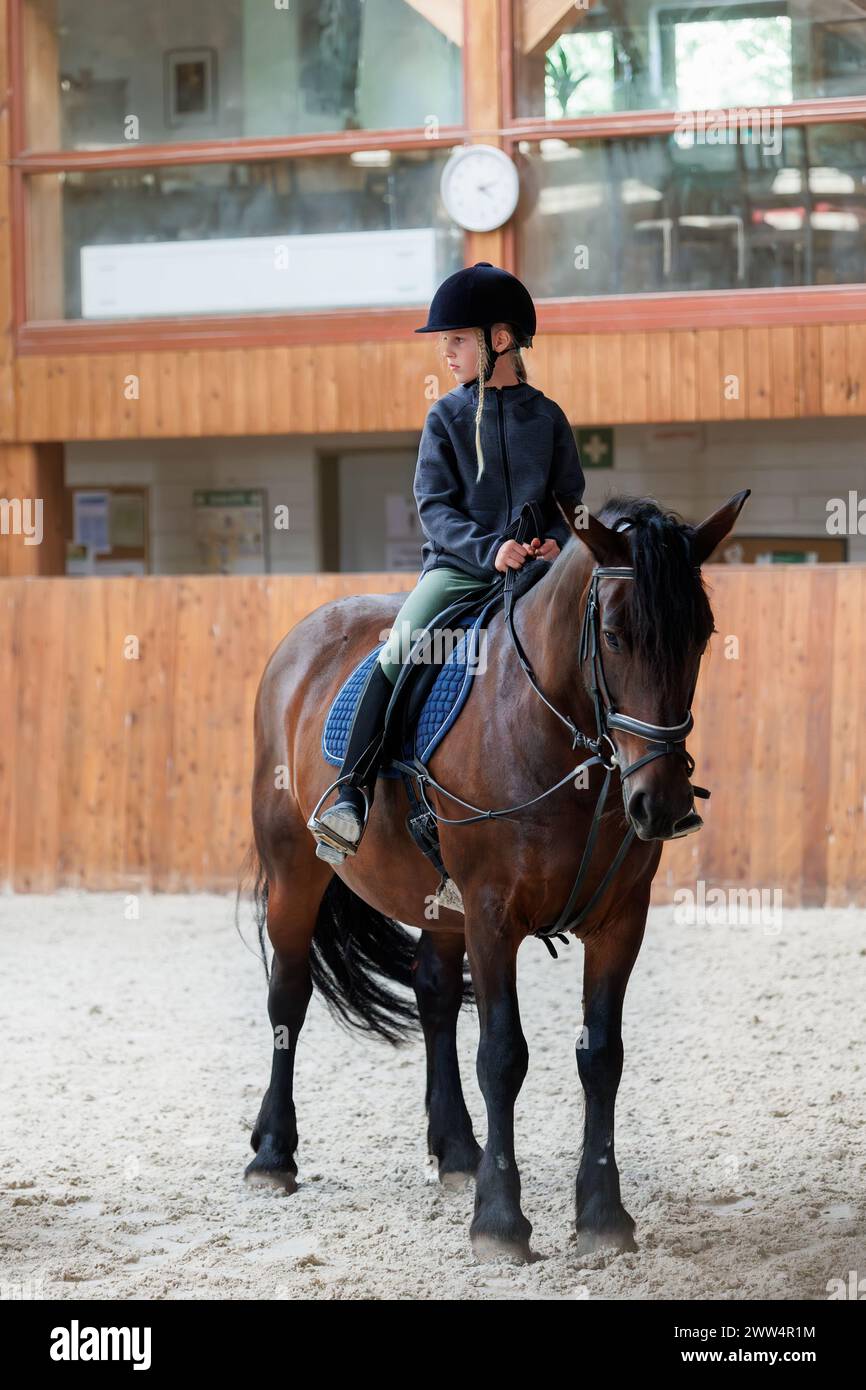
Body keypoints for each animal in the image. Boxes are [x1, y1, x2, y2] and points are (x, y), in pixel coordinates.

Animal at [243, 488, 750, 1261]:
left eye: (701, 635)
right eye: (615, 637)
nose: (660, 805)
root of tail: (305, 635)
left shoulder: (620, 919)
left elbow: (602, 1056)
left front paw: (602, 1216)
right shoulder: (491, 913)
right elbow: (504, 1055)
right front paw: (501, 1223)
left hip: (437, 900)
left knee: (433, 996)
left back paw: (457, 1153)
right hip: (295, 872)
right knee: (288, 998)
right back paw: (274, 1154)